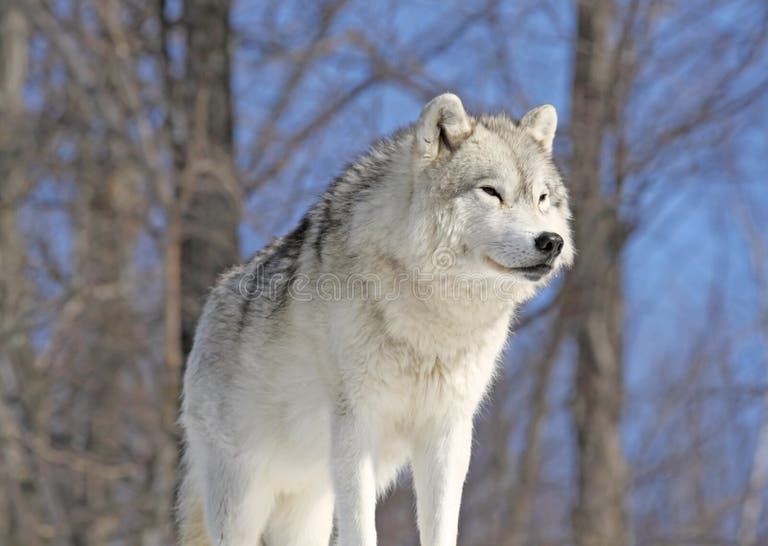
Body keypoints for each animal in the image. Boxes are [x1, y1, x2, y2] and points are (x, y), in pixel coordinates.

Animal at [178, 93, 573, 546]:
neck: (431, 313)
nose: (551, 242)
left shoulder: (448, 430)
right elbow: (362, 529)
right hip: (243, 503)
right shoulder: (356, 423)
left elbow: (441, 526)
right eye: (491, 192)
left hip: (308, 508)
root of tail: (213, 301)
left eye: (541, 198)